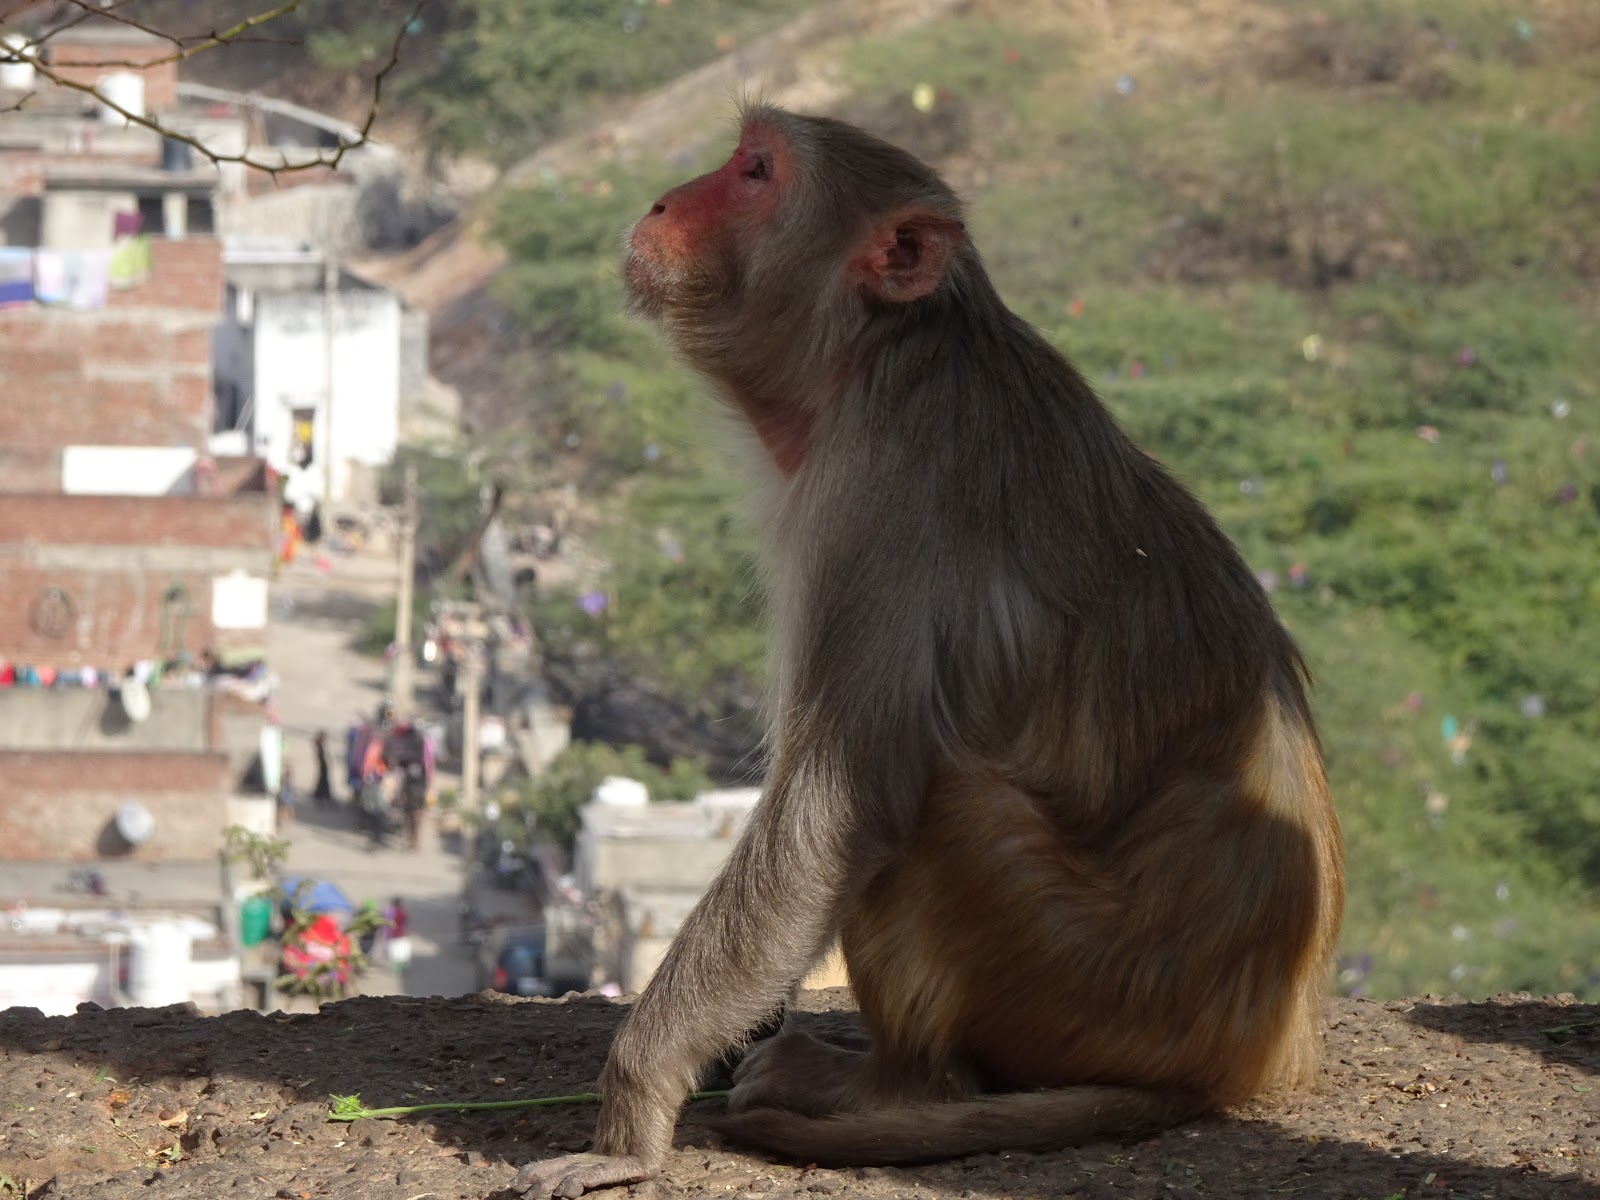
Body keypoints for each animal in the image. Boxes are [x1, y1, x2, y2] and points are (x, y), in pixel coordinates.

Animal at [515, 104, 1344, 1198]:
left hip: (1084, 980)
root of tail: (1242, 1051)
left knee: (932, 797)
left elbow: (831, 811)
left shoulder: (886, 484)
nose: (659, 201)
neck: (884, 346)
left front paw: (631, 1117)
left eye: (755, 172)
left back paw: (892, 1089)